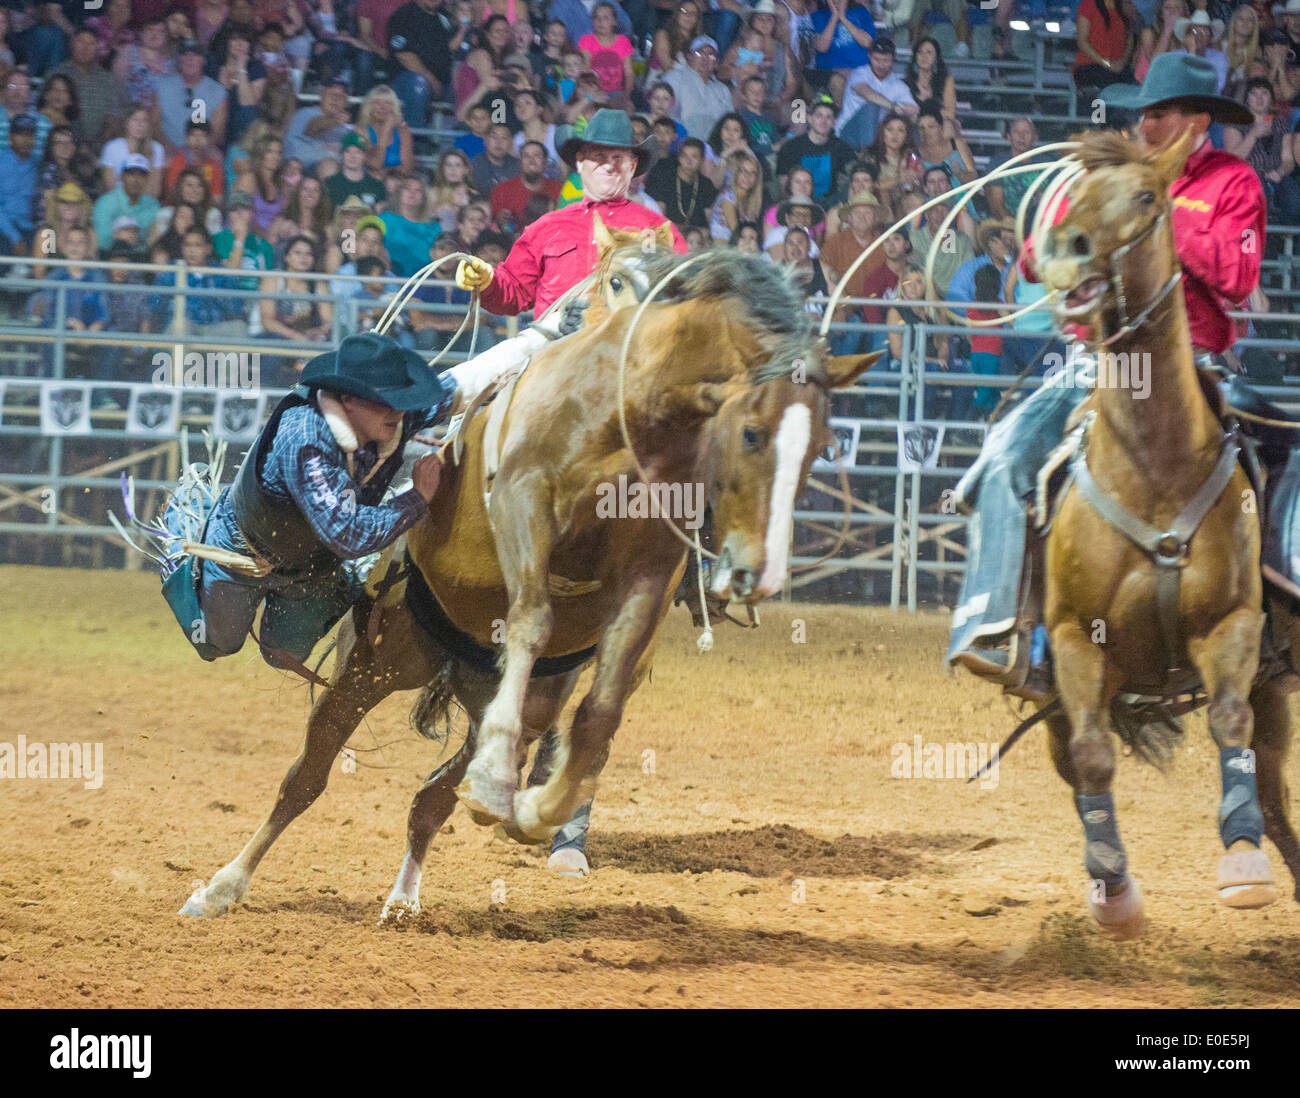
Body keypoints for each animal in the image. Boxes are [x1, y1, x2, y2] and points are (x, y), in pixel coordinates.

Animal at [179, 246, 876, 920]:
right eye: (752, 433)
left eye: (820, 445)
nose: (759, 573)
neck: (628, 409)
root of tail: (453, 662)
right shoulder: (522, 500)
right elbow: (533, 618)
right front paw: (501, 784)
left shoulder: (651, 569)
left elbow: (602, 707)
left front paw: (539, 808)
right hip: (375, 663)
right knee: (307, 777)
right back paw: (220, 888)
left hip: (514, 695)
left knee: (434, 796)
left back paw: (407, 895)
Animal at [1035, 128, 1300, 939]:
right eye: (1071, 194)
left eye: (1148, 197)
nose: (1066, 250)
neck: (1153, 470)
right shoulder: (1072, 640)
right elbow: (1092, 755)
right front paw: (1114, 892)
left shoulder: (1232, 625)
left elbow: (1227, 721)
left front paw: (1242, 866)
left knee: (1271, 784)